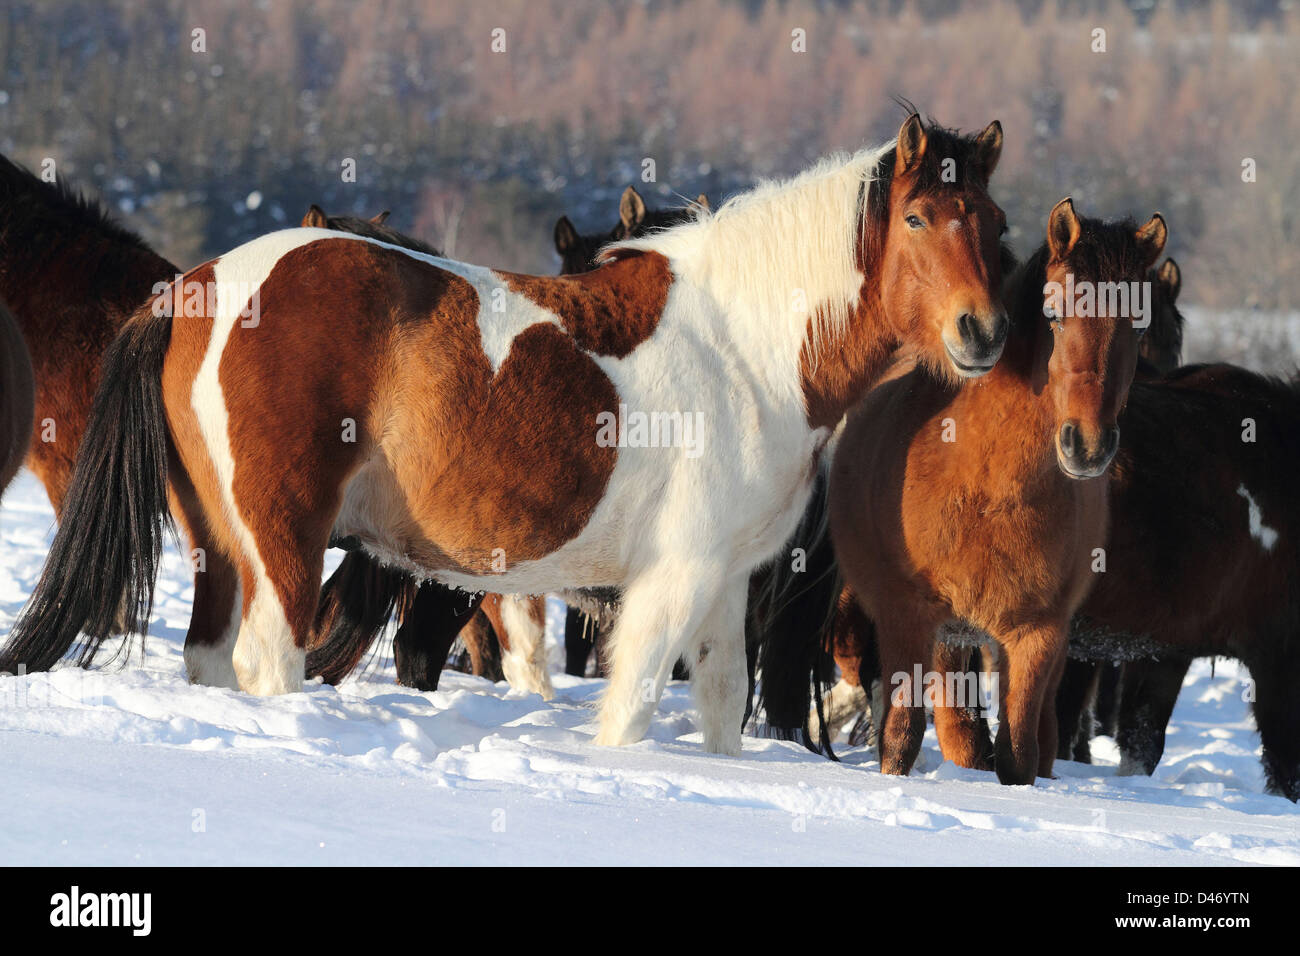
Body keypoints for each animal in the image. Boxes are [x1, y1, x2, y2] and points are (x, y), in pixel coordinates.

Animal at [0, 113, 1008, 756]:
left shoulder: (723, 587)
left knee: (211, 659)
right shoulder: (670, 581)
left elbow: (723, 711)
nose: (983, 333)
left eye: (994, 224)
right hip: (281, 542)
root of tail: (195, 287)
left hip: (217, 545)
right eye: (918, 216)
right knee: (268, 662)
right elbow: (630, 712)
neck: (740, 339)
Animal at [828, 200, 1167, 784]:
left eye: (1137, 324)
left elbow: (1019, 756)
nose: (1088, 445)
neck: (985, 485)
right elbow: (901, 736)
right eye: (1055, 315)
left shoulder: (1036, 634)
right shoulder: (910, 618)